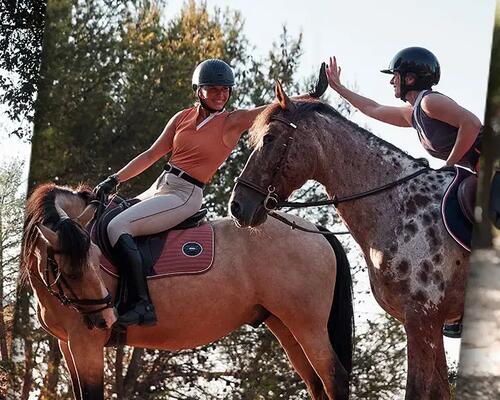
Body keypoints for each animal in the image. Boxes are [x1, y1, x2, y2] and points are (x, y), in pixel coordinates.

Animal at [21, 182, 354, 400]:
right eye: (70, 272)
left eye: (94, 259)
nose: (106, 319)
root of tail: (316, 232)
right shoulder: (67, 345)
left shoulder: (86, 342)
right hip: (285, 325)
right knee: (316, 384)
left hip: (308, 325)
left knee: (333, 378)